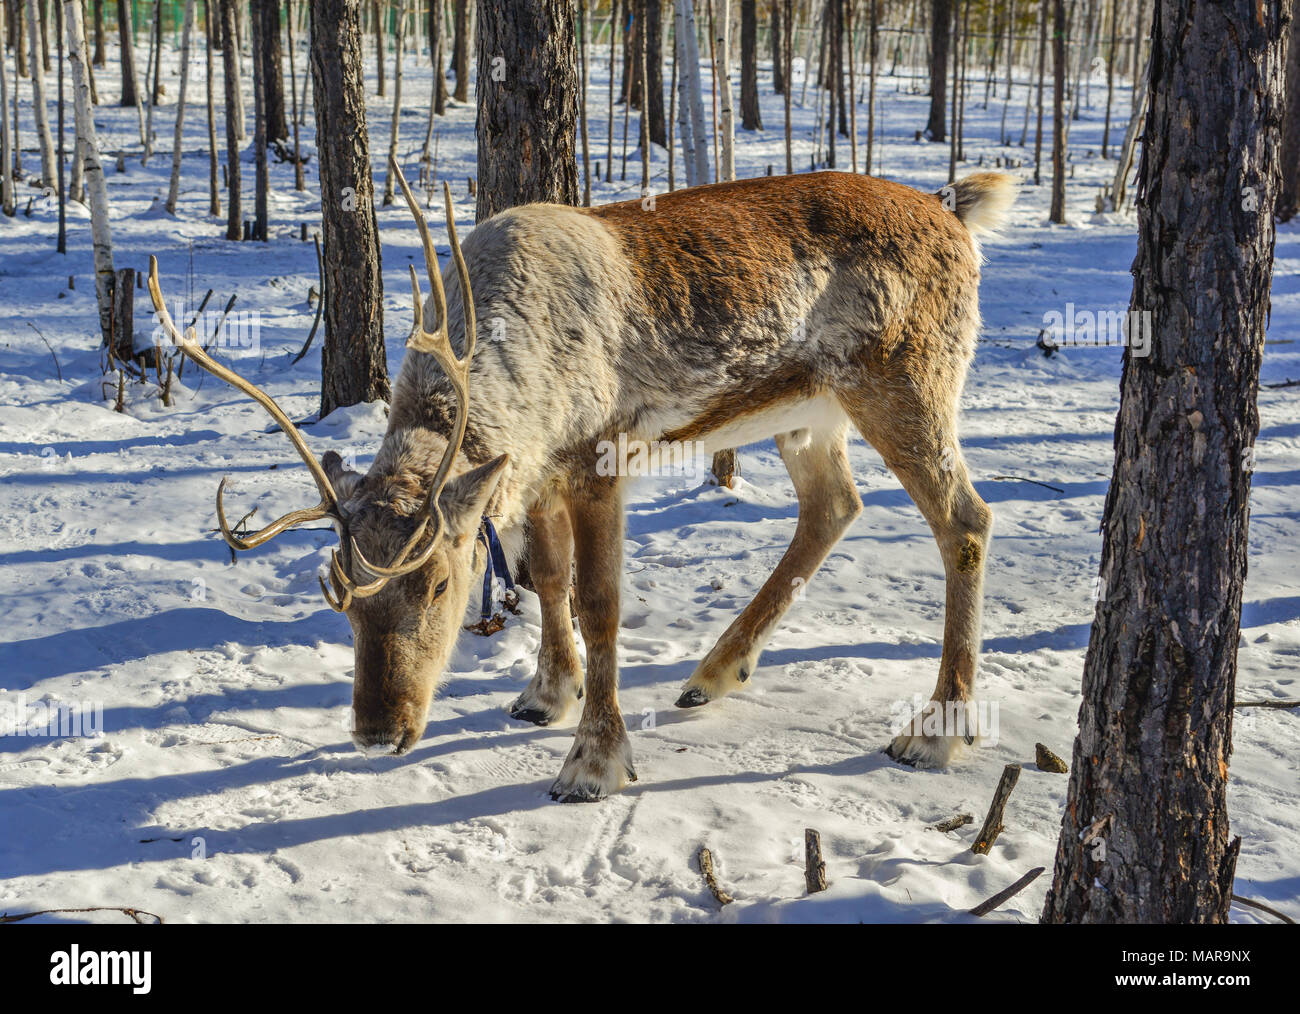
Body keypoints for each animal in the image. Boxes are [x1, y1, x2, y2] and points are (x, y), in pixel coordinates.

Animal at [148, 159, 1015, 803]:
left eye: (439, 584)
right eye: (345, 596)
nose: (377, 731)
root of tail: (955, 213)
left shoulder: (600, 455)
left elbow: (599, 604)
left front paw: (593, 761)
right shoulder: (537, 471)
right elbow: (550, 579)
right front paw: (546, 692)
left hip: (908, 379)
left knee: (965, 519)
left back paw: (936, 731)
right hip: (810, 410)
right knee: (836, 504)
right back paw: (712, 674)